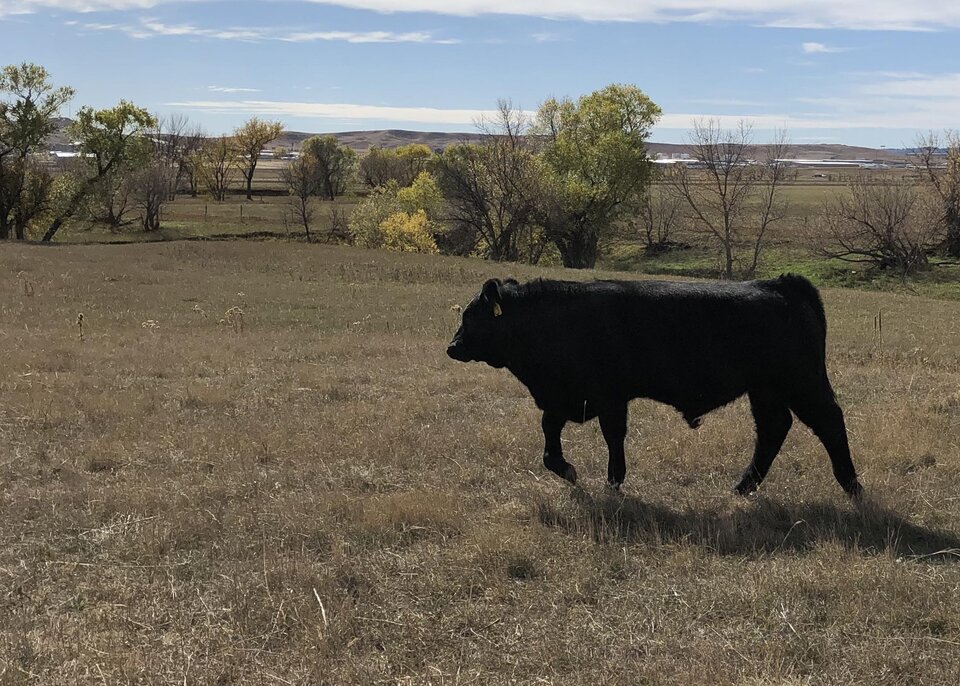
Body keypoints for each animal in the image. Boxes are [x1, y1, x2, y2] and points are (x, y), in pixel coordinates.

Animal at [446, 275, 862, 498]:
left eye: (473, 316)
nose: (452, 346)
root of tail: (782, 284)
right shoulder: (569, 397)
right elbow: (551, 430)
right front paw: (568, 469)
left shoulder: (606, 396)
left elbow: (611, 436)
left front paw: (609, 482)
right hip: (765, 392)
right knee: (773, 429)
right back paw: (742, 487)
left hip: (801, 383)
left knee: (829, 422)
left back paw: (852, 486)